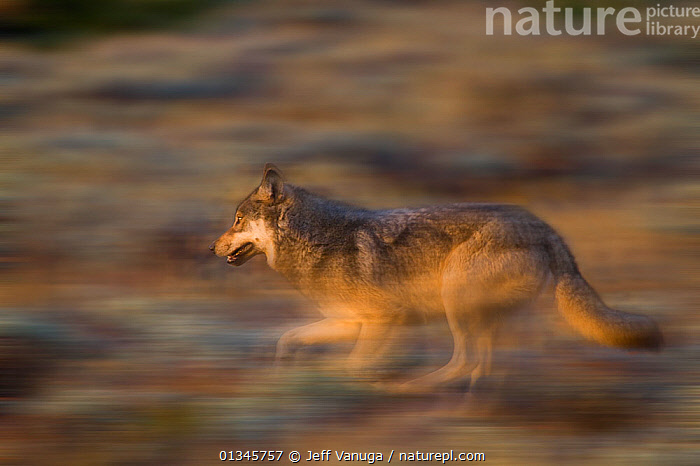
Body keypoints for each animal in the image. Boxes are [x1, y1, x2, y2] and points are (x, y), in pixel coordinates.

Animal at [210, 164, 662, 390]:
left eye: (236, 220)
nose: (210, 248)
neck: (315, 238)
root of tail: (544, 227)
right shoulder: (349, 321)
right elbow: (288, 339)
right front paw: (281, 373)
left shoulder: (384, 318)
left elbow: (352, 367)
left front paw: (354, 387)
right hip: (483, 316)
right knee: (490, 364)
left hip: (455, 302)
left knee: (467, 362)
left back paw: (417, 390)